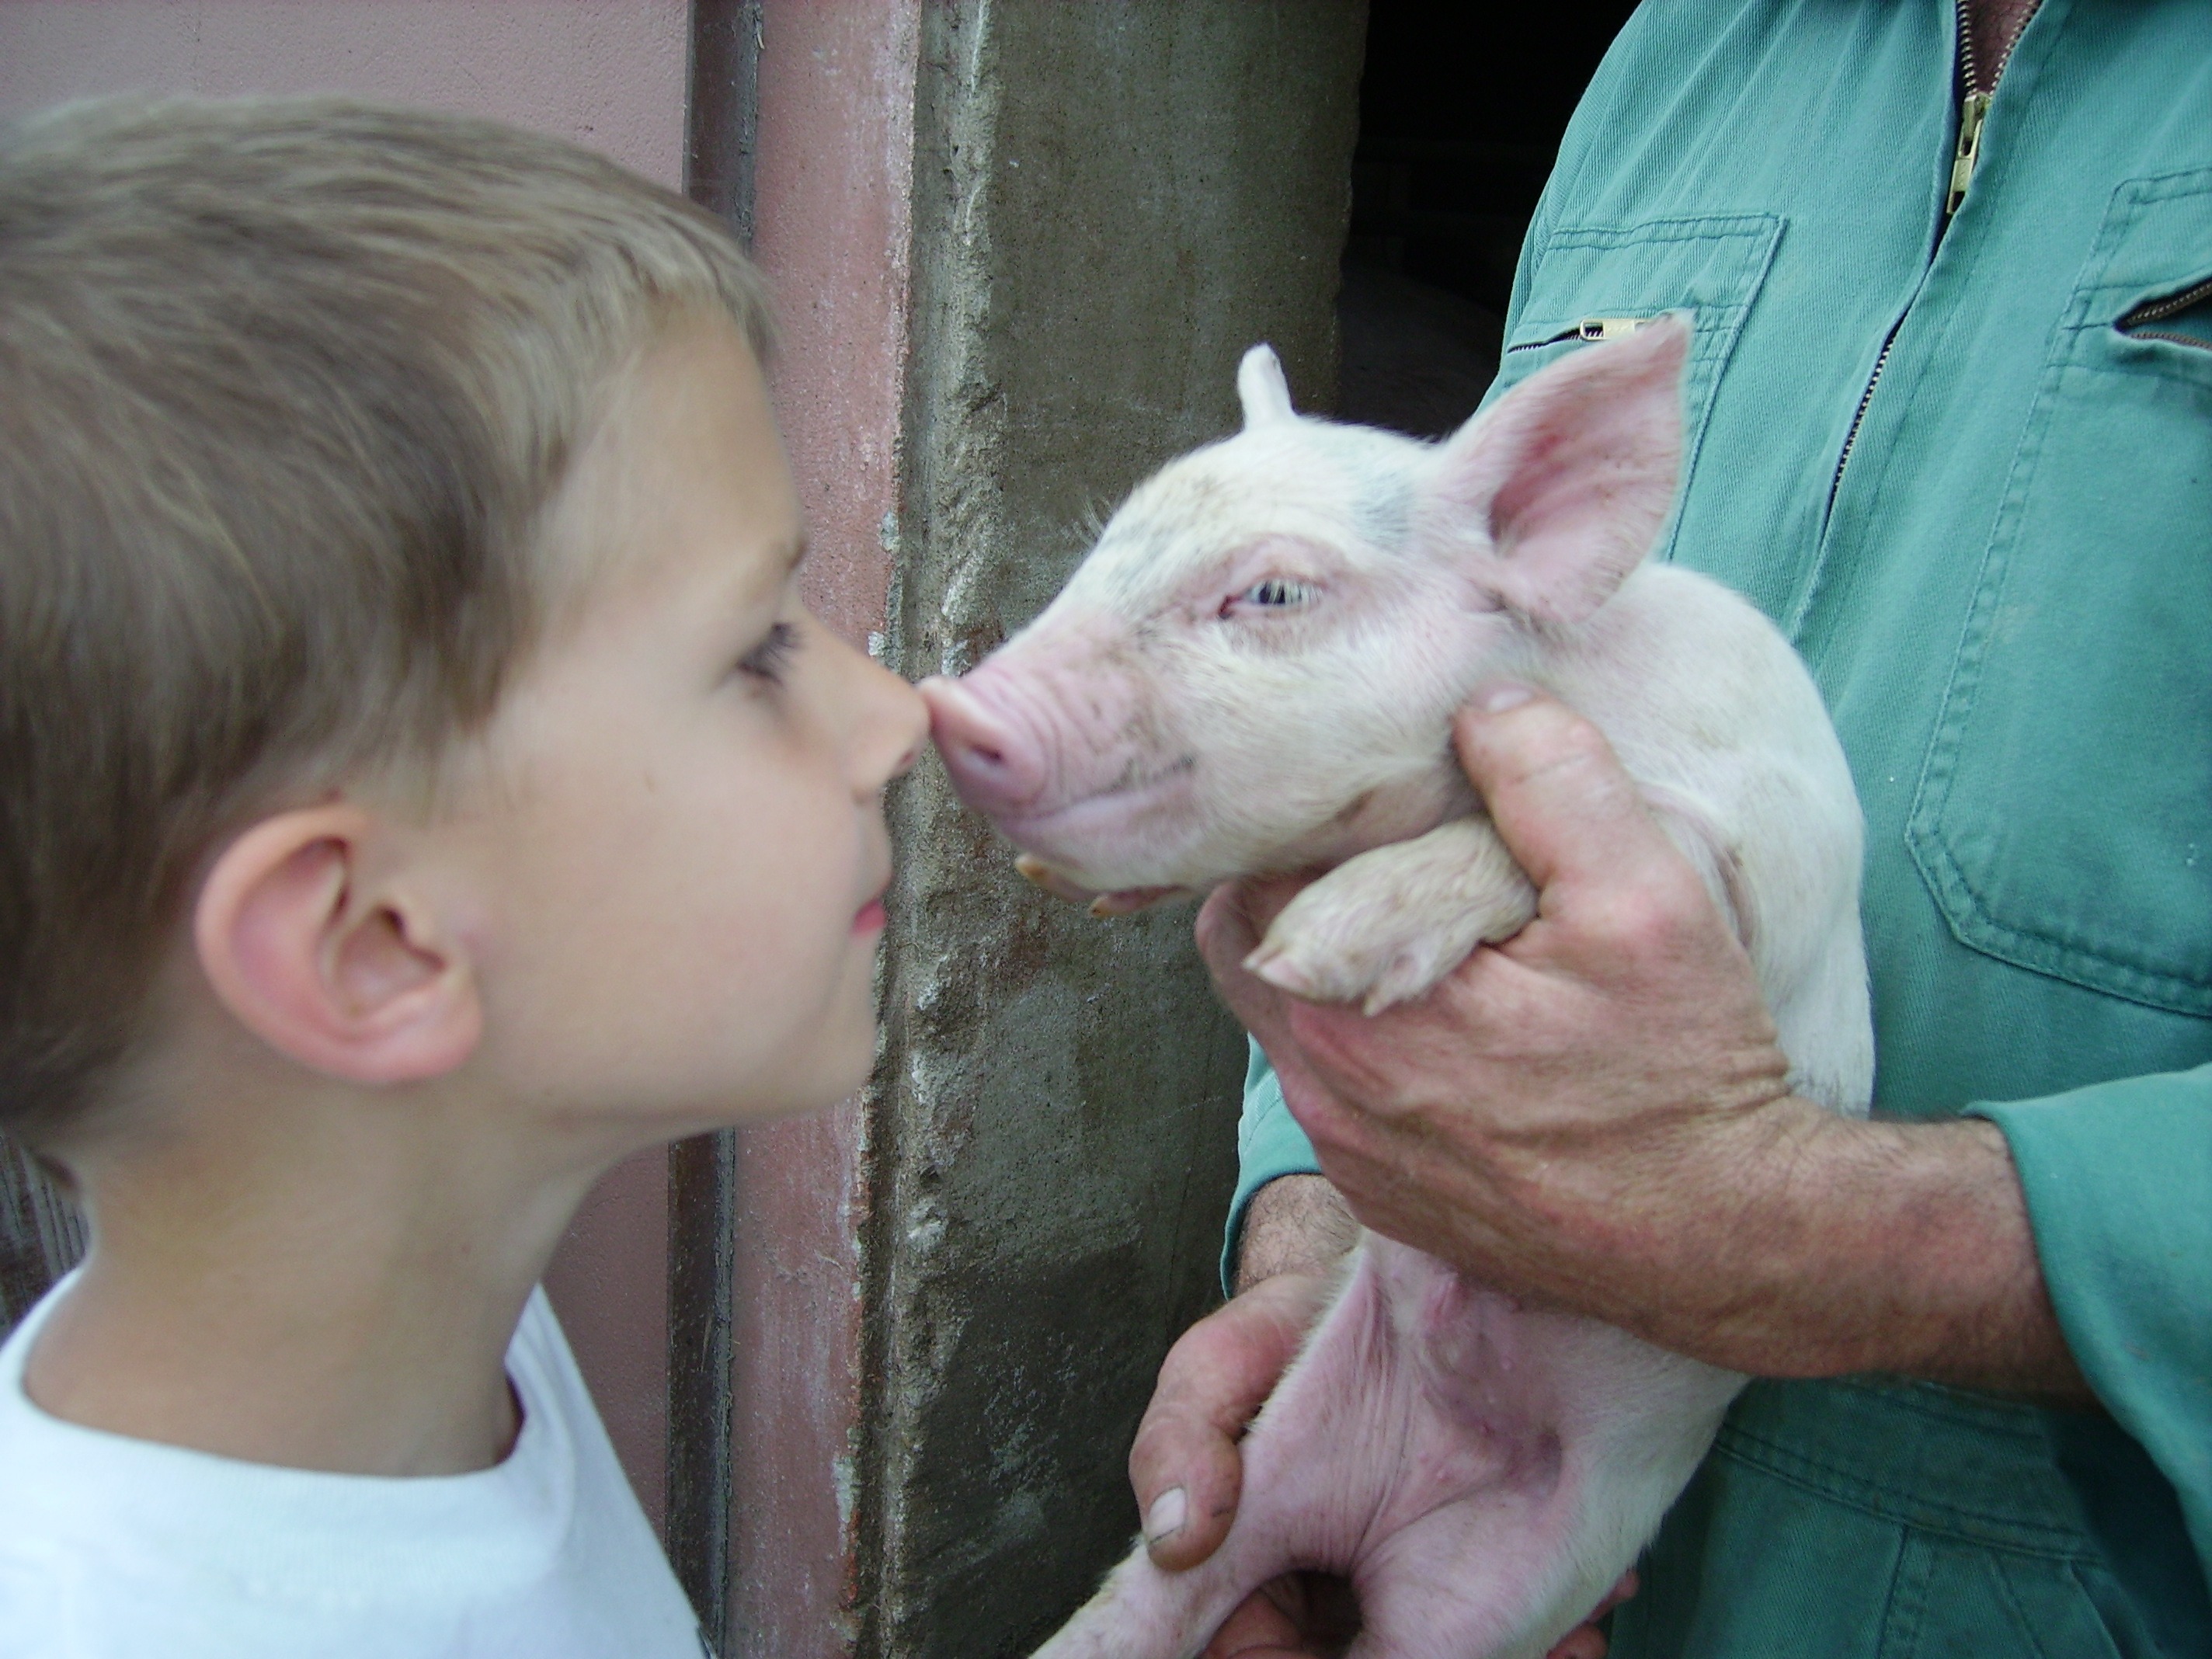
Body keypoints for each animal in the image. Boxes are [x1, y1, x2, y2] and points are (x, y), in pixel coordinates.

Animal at [918, 315, 1872, 1659]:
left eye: (1273, 592)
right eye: (1106, 551)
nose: (949, 702)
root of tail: (1381, 1517)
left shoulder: (1766, 877)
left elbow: (1606, 843)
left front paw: (1312, 950)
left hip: (1513, 1583)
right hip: (1279, 1450)